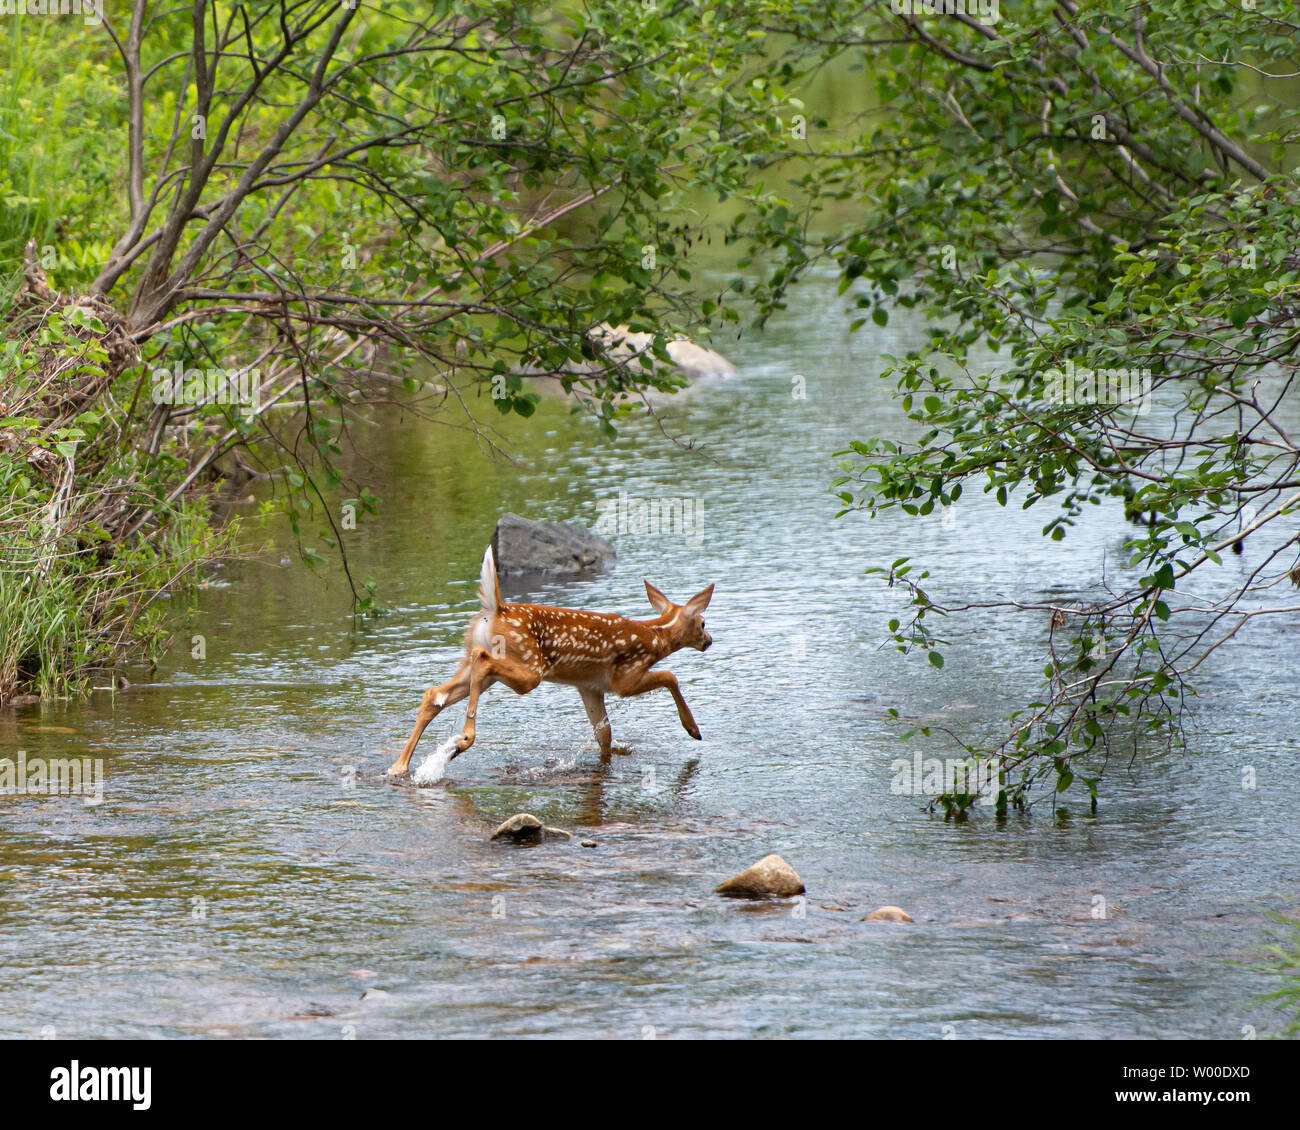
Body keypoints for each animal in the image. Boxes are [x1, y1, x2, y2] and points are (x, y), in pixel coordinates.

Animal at [385, 546, 714, 776]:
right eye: (703, 623)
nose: (709, 641)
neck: (656, 635)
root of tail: (496, 608)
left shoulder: (589, 687)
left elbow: (604, 735)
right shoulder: (624, 679)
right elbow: (670, 676)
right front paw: (693, 729)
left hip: (480, 665)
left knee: (434, 694)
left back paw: (400, 767)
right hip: (529, 669)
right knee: (482, 660)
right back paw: (463, 740)